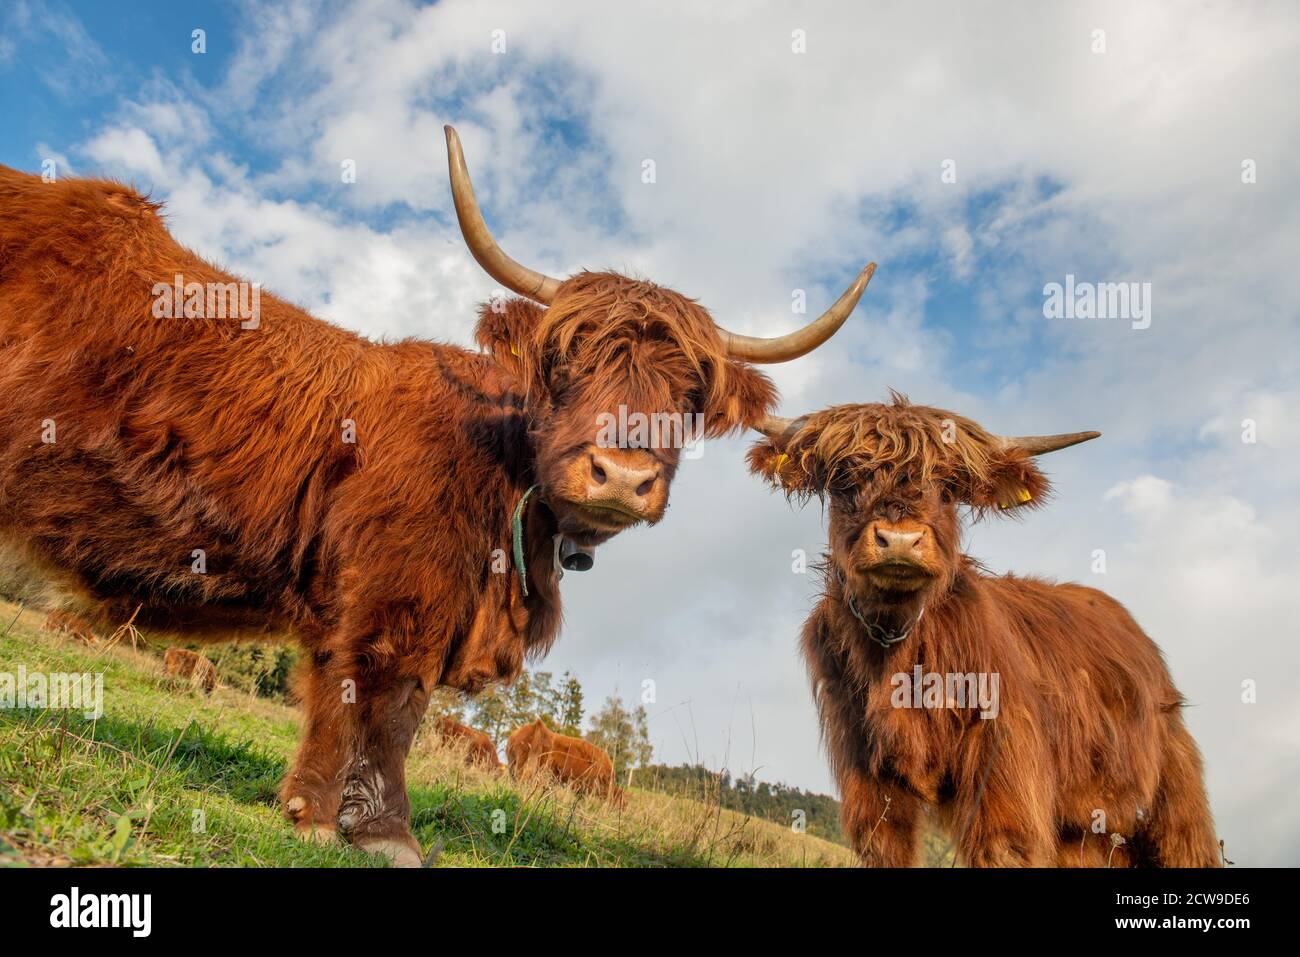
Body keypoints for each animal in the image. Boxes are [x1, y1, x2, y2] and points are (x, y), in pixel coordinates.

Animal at [0, 127, 869, 865]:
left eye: (689, 395)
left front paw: (347, 819)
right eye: (565, 365)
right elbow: (378, 698)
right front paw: (349, 824)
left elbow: (372, 704)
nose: (622, 475)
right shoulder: (393, 592)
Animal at [748, 395, 1219, 867]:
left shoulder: (1005, 766)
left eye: (948, 487)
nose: (900, 541)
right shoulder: (864, 764)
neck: (897, 644)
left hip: (1174, 793)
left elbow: (1002, 846)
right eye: (845, 479)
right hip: (1084, 825)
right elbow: (885, 846)